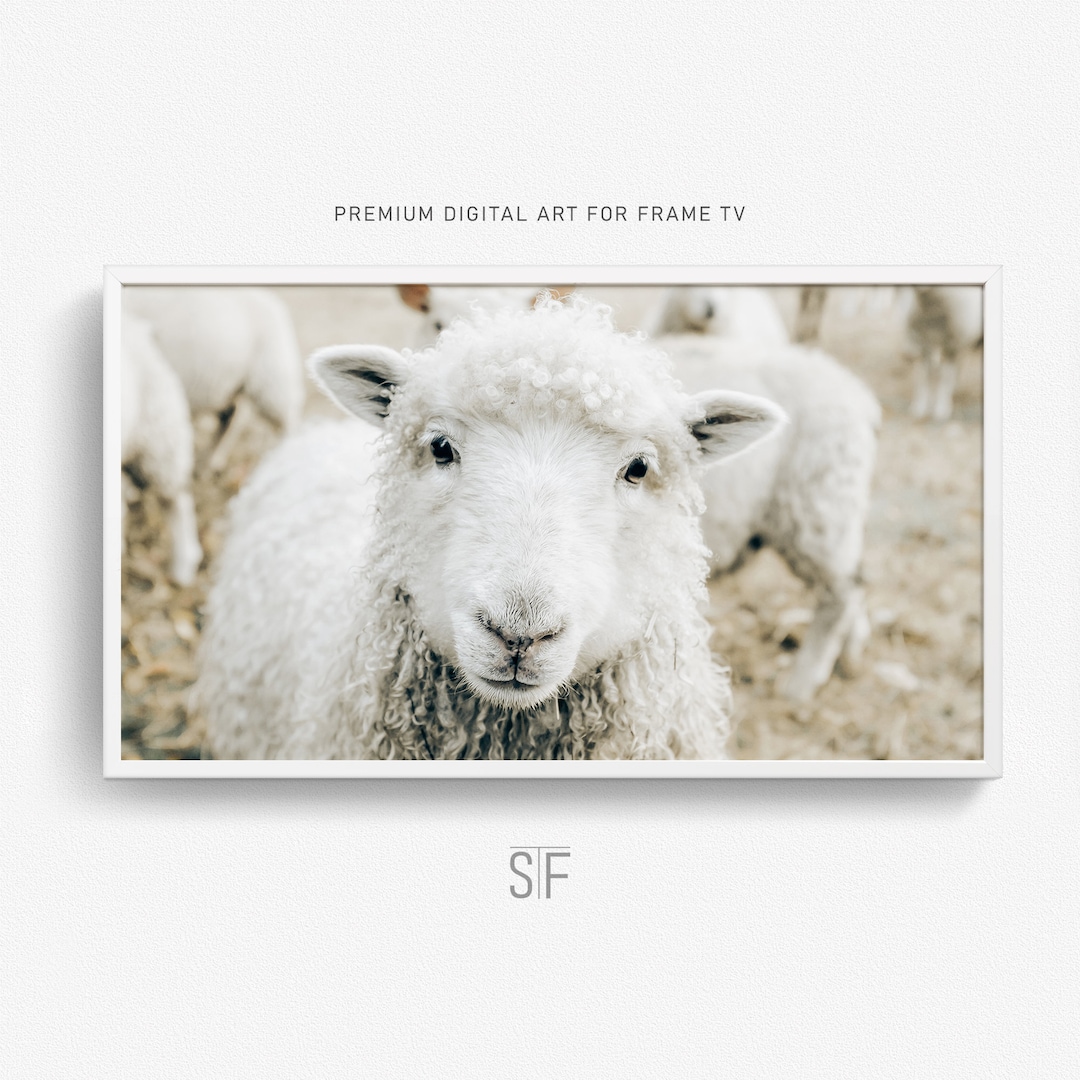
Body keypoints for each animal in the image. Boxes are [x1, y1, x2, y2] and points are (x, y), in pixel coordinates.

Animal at [122, 286, 305, 468]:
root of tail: (275, 303)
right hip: (228, 386)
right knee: (229, 418)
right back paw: (209, 462)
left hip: (272, 382)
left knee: (287, 422)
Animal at [658, 333, 881, 701]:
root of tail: (857, 393)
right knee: (855, 581)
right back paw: (850, 658)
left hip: (816, 504)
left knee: (843, 591)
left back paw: (802, 682)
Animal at [902, 285, 983, 421]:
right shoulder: (923, 346)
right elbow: (922, 378)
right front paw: (919, 408)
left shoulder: (950, 346)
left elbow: (945, 378)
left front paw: (942, 409)